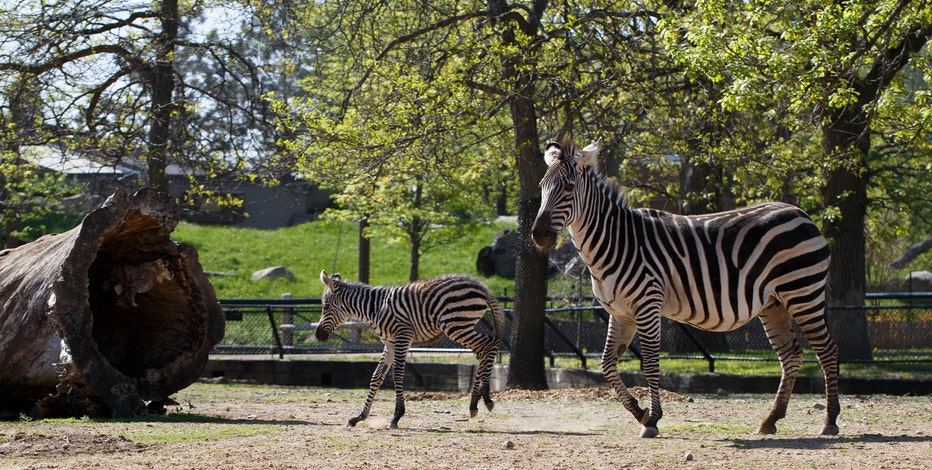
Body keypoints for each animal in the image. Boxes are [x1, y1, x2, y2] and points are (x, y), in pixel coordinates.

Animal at [316, 270, 504, 428]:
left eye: (325, 307)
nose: (318, 335)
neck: (375, 309)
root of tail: (478, 284)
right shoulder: (390, 343)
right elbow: (376, 377)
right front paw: (359, 417)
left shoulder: (403, 336)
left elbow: (397, 374)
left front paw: (396, 416)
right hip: (461, 326)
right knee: (485, 349)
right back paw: (474, 403)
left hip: (455, 325)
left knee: (490, 344)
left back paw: (486, 398)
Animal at [531, 139, 840, 438]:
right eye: (542, 187)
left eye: (569, 188)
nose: (538, 235)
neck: (614, 242)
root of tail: (801, 213)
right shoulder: (620, 313)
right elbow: (607, 363)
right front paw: (639, 411)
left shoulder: (647, 305)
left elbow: (650, 363)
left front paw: (653, 419)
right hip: (774, 303)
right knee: (791, 355)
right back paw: (771, 419)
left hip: (803, 292)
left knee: (827, 350)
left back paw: (830, 421)